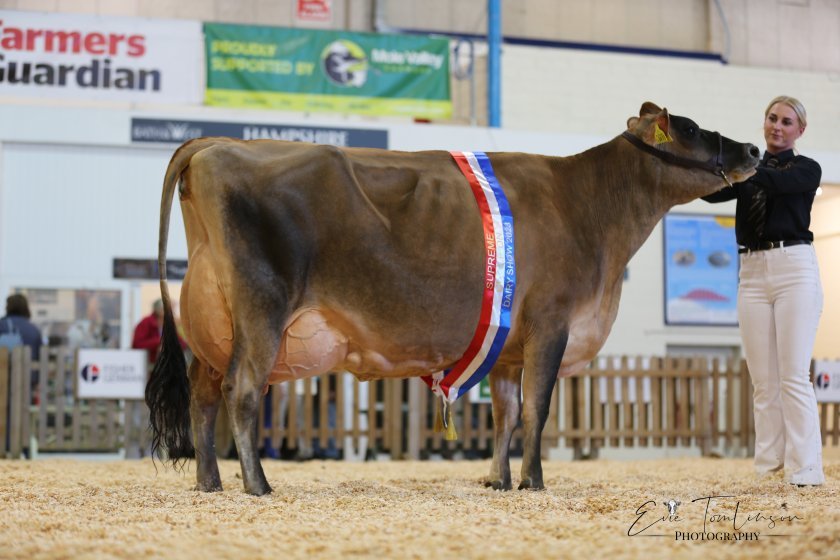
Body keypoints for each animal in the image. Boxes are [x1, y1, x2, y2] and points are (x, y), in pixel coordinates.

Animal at [146, 102, 760, 496]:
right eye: (690, 128)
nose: (754, 147)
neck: (591, 209)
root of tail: (217, 142)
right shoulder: (552, 324)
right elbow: (538, 410)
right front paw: (534, 481)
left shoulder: (509, 346)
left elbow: (506, 413)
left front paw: (499, 479)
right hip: (262, 310)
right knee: (242, 390)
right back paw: (257, 484)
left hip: (213, 322)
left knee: (203, 396)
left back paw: (208, 483)